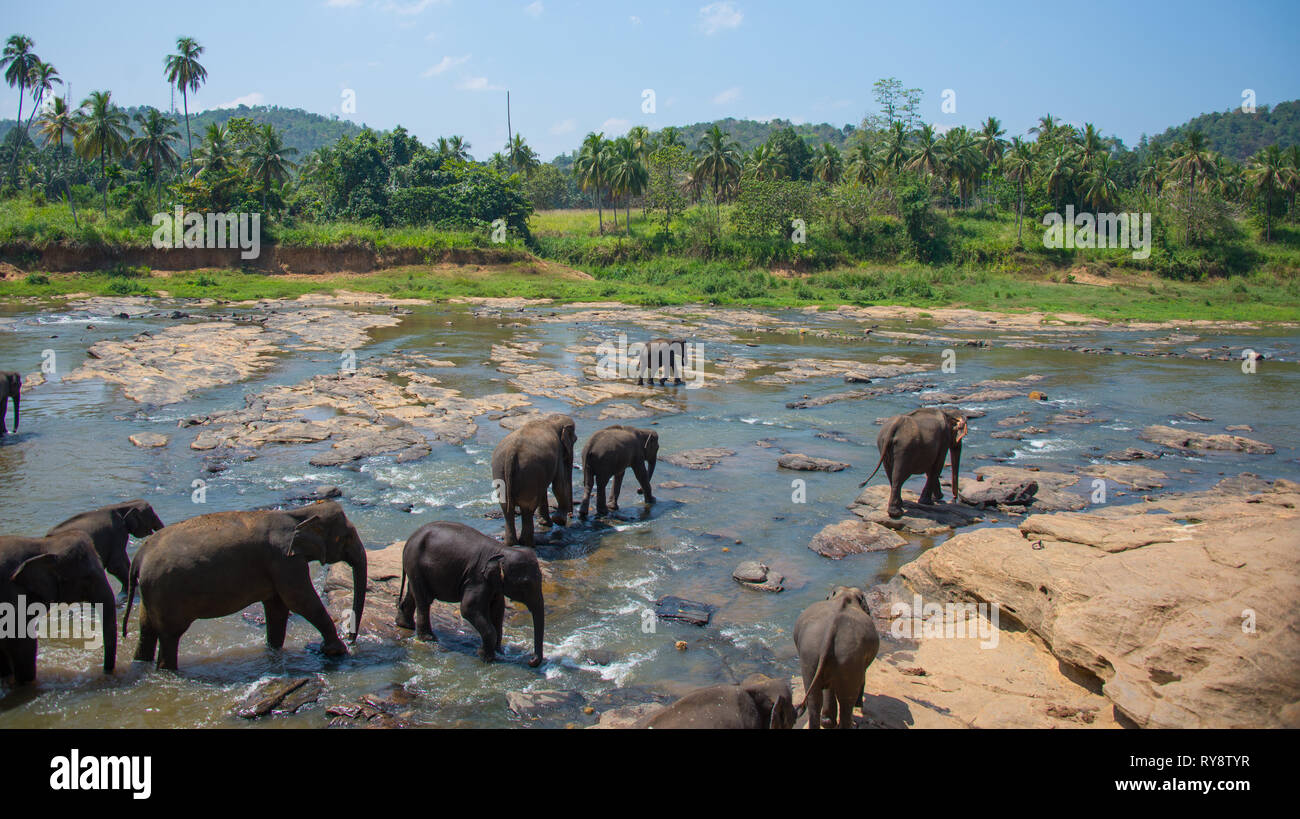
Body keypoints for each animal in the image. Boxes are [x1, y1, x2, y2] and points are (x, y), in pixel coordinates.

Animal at [121, 501, 366, 671]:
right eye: (347, 537)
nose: (351, 639)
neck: (299, 513)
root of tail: (139, 556)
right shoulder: (284, 561)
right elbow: (300, 601)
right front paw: (338, 651)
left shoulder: (278, 567)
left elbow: (277, 608)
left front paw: (274, 649)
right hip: (165, 594)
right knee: (170, 636)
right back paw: (168, 671)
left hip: (150, 594)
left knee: (147, 630)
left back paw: (140, 664)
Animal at [395, 521, 545, 667]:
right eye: (526, 583)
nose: (531, 660)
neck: (501, 551)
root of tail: (409, 540)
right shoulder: (477, 579)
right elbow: (468, 609)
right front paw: (485, 657)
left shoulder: (493, 584)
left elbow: (498, 611)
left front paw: (499, 652)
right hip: (415, 564)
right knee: (424, 600)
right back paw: (428, 639)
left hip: (416, 569)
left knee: (413, 593)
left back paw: (405, 625)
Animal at [491, 414, 575, 547]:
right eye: (575, 440)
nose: (571, 515)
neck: (550, 420)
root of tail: (512, 451)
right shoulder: (558, 452)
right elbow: (558, 485)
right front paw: (558, 521)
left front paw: (547, 523)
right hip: (529, 472)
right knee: (527, 508)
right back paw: (529, 543)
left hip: (501, 469)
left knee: (506, 508)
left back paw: (511, 543)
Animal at [793, 586, 880, 729]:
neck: (845, 594)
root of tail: (831, 629)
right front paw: (859, 704)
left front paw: (827, 721)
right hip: (849, 658)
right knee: (846, 702)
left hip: (810, 653)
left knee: (814, 699)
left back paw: (826, 722)